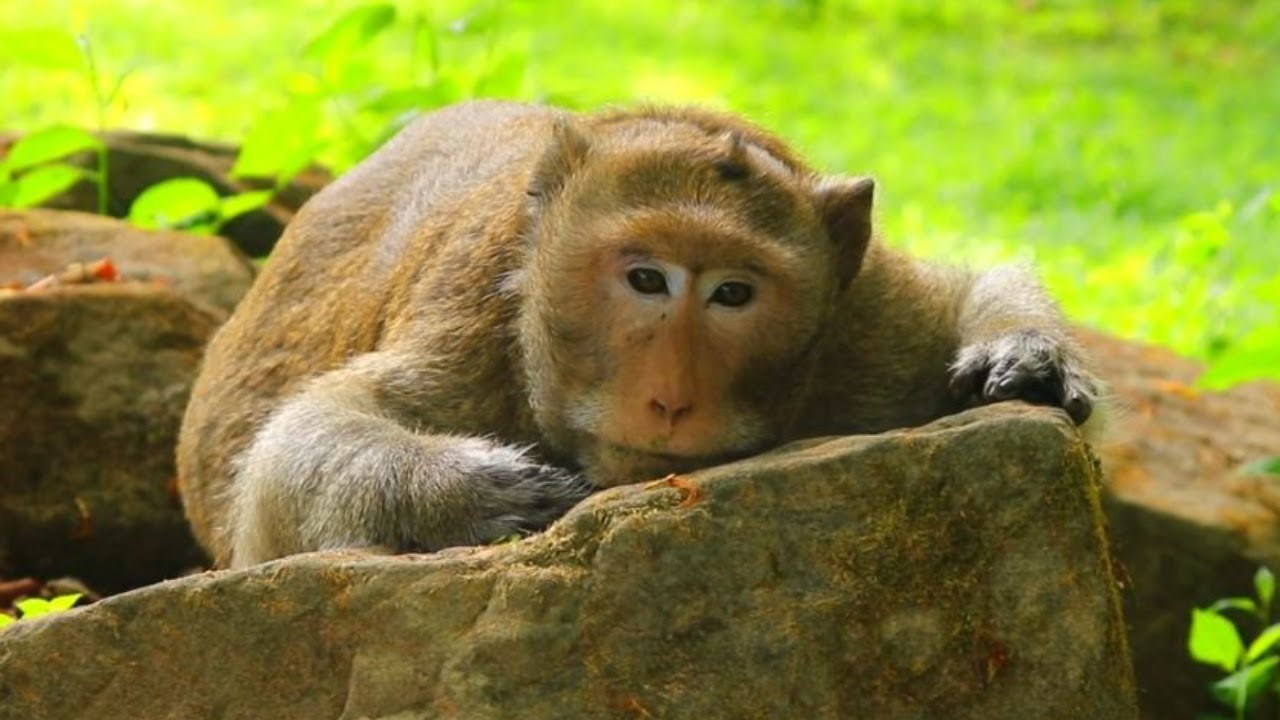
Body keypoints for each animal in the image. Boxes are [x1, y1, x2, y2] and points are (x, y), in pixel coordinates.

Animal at [176, 100, 1101, 569]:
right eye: (647, 280)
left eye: (732, 293)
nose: (671, 397)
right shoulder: (475, 328)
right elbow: (284, 473)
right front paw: (468, 492)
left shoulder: (862, 318)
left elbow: (962, 295)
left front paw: (1026, 352)